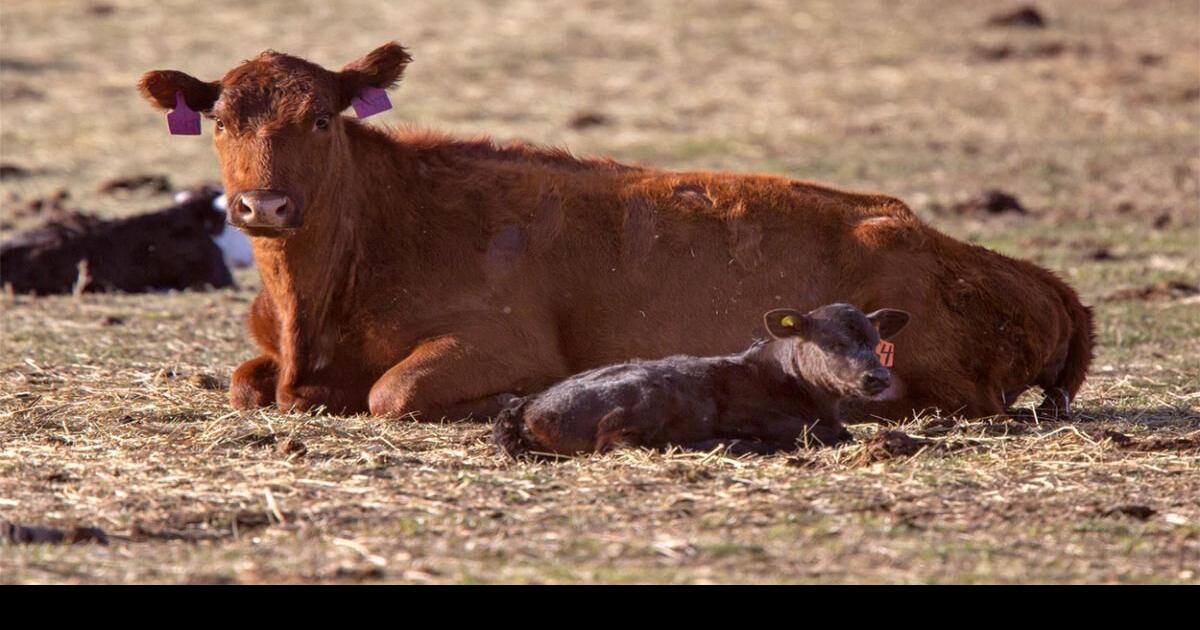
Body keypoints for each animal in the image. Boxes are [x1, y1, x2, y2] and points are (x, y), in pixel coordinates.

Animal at [136, 42, 1094, 422]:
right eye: (220, 120)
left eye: (322, 120)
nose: (263, 208)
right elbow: (245, 382)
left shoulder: (501, 340)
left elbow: (390, 394)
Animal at [494, 304, 910, 458]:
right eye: (833, 343)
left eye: (875, 343)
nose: (877, 377)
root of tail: (528, 404)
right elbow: (827, 433)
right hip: (645, 396)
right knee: (620, 441)